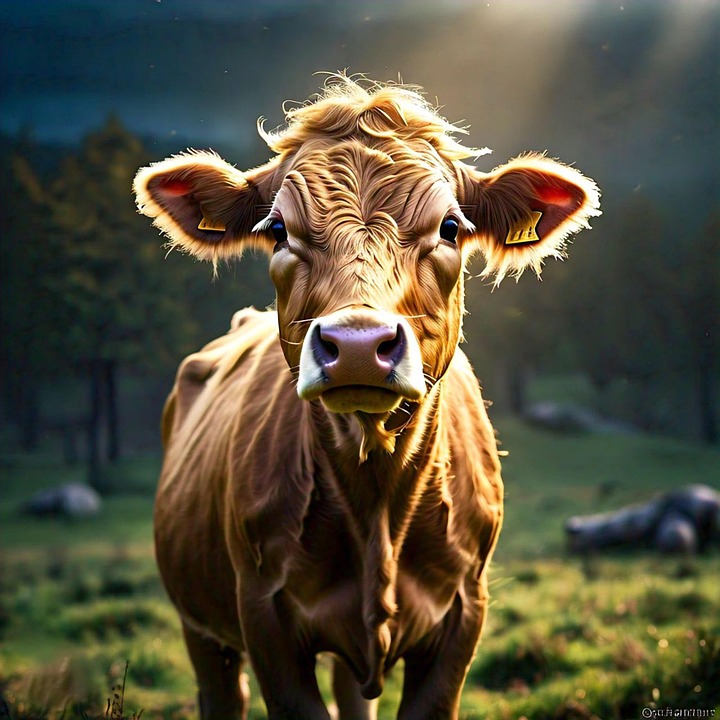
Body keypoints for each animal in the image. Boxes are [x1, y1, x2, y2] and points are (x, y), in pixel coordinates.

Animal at [133, 76, 600, 720]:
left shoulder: (464, 611)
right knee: (221, 691)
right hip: (201, 626)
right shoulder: (264, 616)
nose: (357, 344)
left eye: (449, 228)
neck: (376, 498)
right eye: (277, 230)